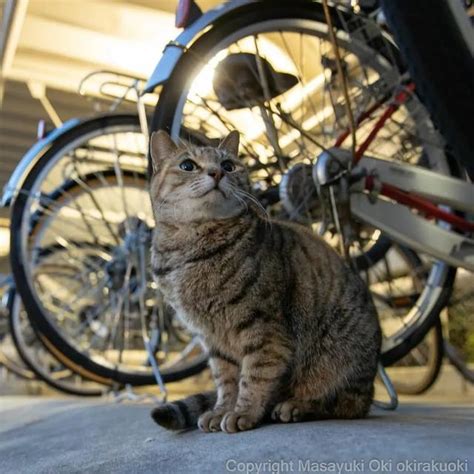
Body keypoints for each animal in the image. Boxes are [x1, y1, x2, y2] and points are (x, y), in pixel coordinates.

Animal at [148, 130, 382, 434]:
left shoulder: (264, 330)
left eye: (228, 166)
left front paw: (242, 412)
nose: (216, 173)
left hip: (339, 361)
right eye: (187, 165)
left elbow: (255, 376)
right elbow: (226, 381)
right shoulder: (213, 340)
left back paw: (295, 406)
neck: (191, 247)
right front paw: (221, 410)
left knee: (342, 403)